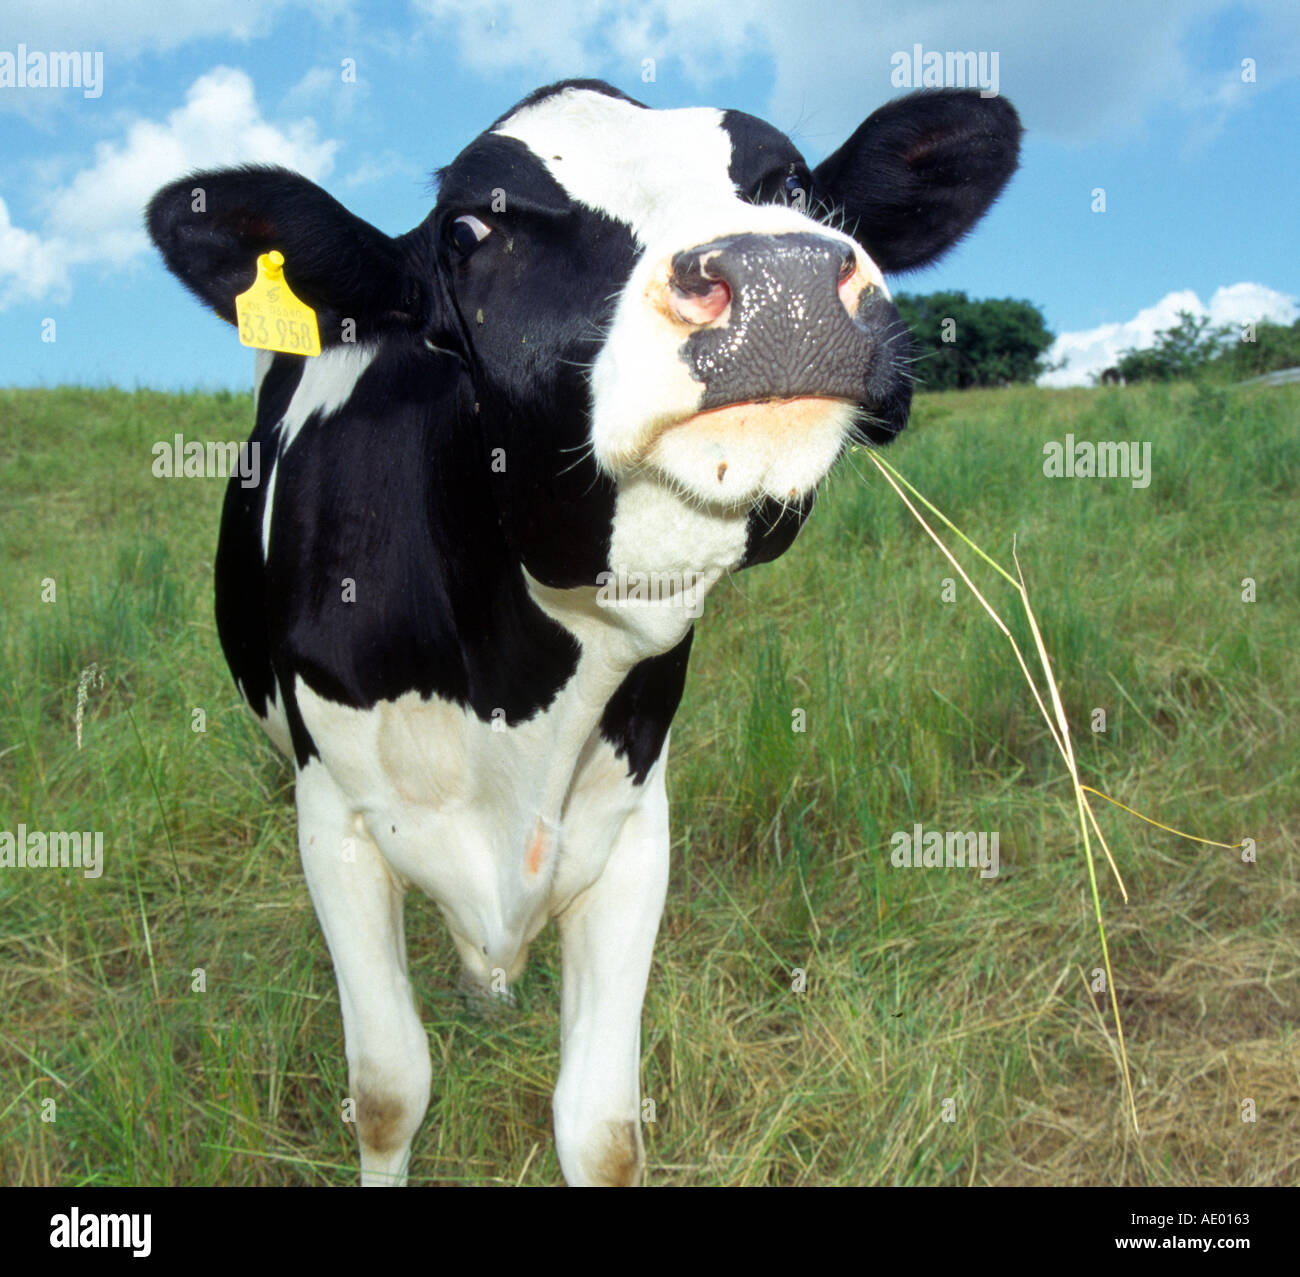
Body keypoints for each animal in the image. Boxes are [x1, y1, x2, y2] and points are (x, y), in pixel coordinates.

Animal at [147, 78, 1020, 1186]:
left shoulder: (631, 827)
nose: (780, 277)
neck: (515, 688)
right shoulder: (333, 819)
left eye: (791, 185)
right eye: (468, 231)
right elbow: (387, 1091)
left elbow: (600, 1126)